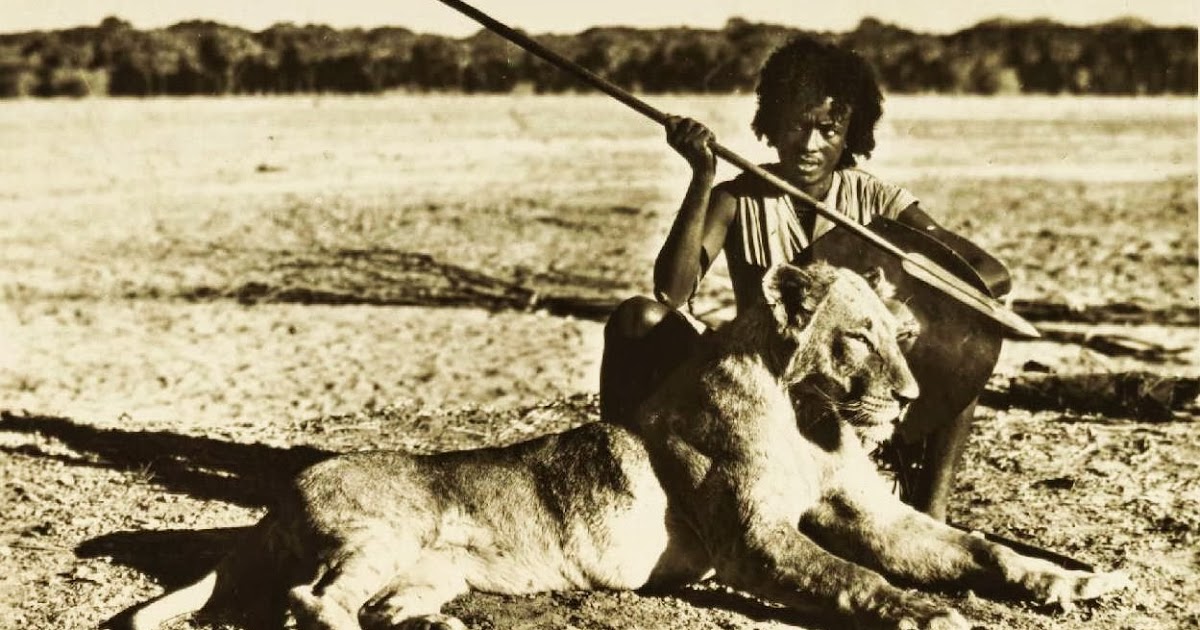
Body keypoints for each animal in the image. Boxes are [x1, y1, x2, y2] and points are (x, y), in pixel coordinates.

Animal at [115, 261, 1130, 630]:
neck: (811, 420)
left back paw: (440, 627)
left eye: (902, 335)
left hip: (427, 568)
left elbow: (976, 551)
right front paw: (925, 615)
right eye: (857, 338)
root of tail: (277, 499)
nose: (913, 396)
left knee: (378, 609)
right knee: (306, 603)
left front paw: (1067, 583)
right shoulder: (753, 539)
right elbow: (850, 577)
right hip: (379, 535)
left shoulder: (870, 513)